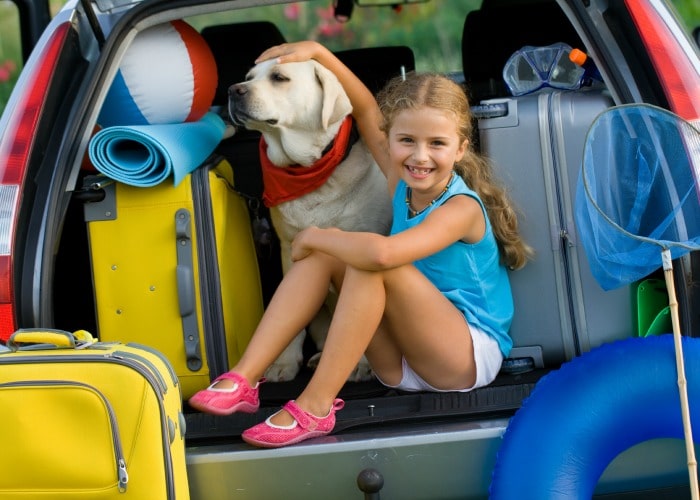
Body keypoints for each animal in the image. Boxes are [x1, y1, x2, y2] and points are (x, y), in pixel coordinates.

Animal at [231, 56, 392, 380]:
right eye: (249, 77)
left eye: (279, 77)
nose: (232, 90)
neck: (307, 171)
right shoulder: (290, 251)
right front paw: (283, 363)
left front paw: (364, 364)